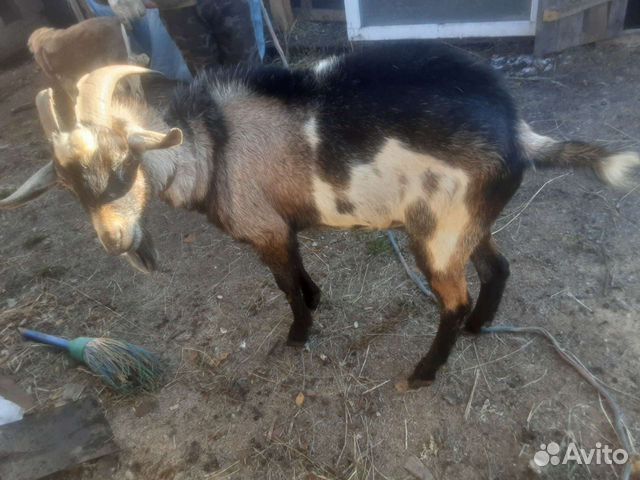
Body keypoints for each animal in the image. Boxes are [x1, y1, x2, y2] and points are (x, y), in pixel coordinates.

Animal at [2, 44, 638, 389]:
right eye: (67, 185)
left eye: (122, 164)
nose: (115, 240)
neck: (212, 142)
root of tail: (514, 126)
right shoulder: (283, 227)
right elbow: (299, 270)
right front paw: (316, 301)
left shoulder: (263, 229)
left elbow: (284, 285)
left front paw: (297, 334)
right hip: (466, 224)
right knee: (497, 268)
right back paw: (480, 328)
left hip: (439, 229)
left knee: (452, 299)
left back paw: (425, 370)